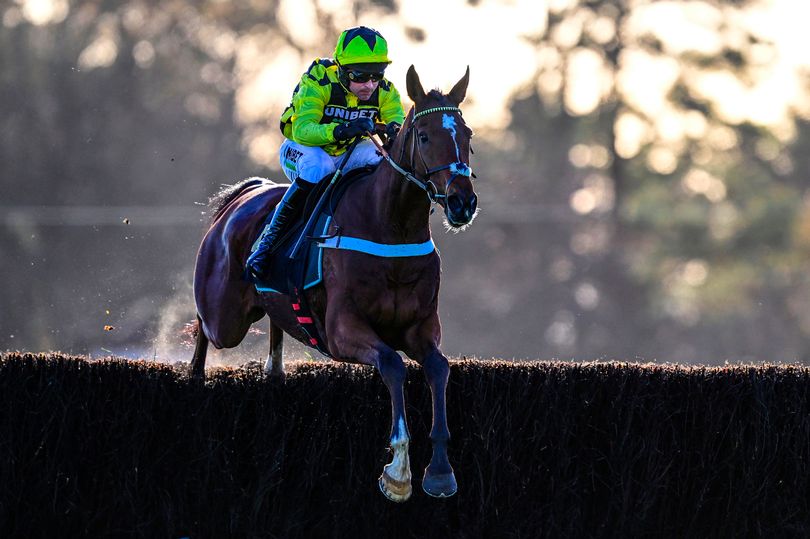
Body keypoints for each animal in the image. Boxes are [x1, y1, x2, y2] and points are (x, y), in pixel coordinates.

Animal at [191, 65, 478, 502]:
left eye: (468, 136)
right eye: (425, 135)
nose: (463, 202)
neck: (389, 225)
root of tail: (243, 197)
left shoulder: (421, 327)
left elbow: (438, 369)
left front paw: (441, 471)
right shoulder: (343, 329)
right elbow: (393, 365)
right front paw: (398, 472)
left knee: (275, 326)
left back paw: (273, 370)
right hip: (225, 318)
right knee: (204, 328)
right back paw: (194, 376)